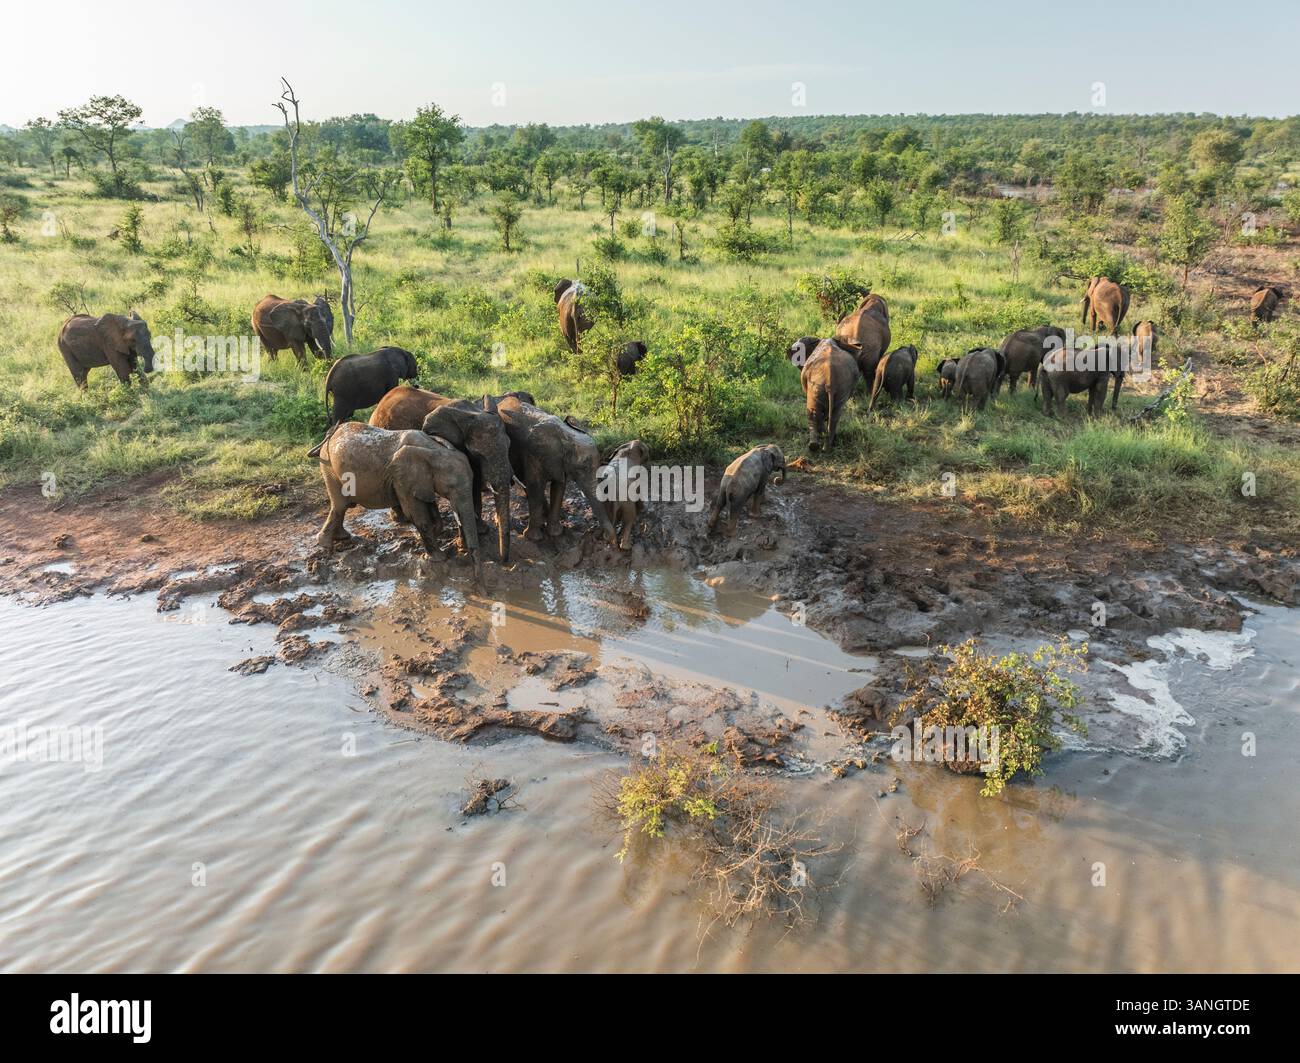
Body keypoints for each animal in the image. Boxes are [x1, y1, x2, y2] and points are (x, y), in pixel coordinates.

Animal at [314, 422, 481, 583]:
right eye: (450, 487)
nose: (475, 579)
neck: (434, 450)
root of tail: (331, 433)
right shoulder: (403, 478)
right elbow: (415, 513)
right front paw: (438, 559)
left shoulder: (420, 481)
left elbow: (429, 503)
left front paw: (429, 534)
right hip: (328, 467)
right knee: (340, 506)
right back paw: (326, 543)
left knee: (341, 507)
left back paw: (341, 537)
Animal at [494, 396, 616, 545]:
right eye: (580, 469)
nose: (602, 536)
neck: (567, 435)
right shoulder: (534, 454)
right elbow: (535, 487)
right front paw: (533, 537)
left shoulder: (559, 462)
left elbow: (559, 487)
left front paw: (555, 533)